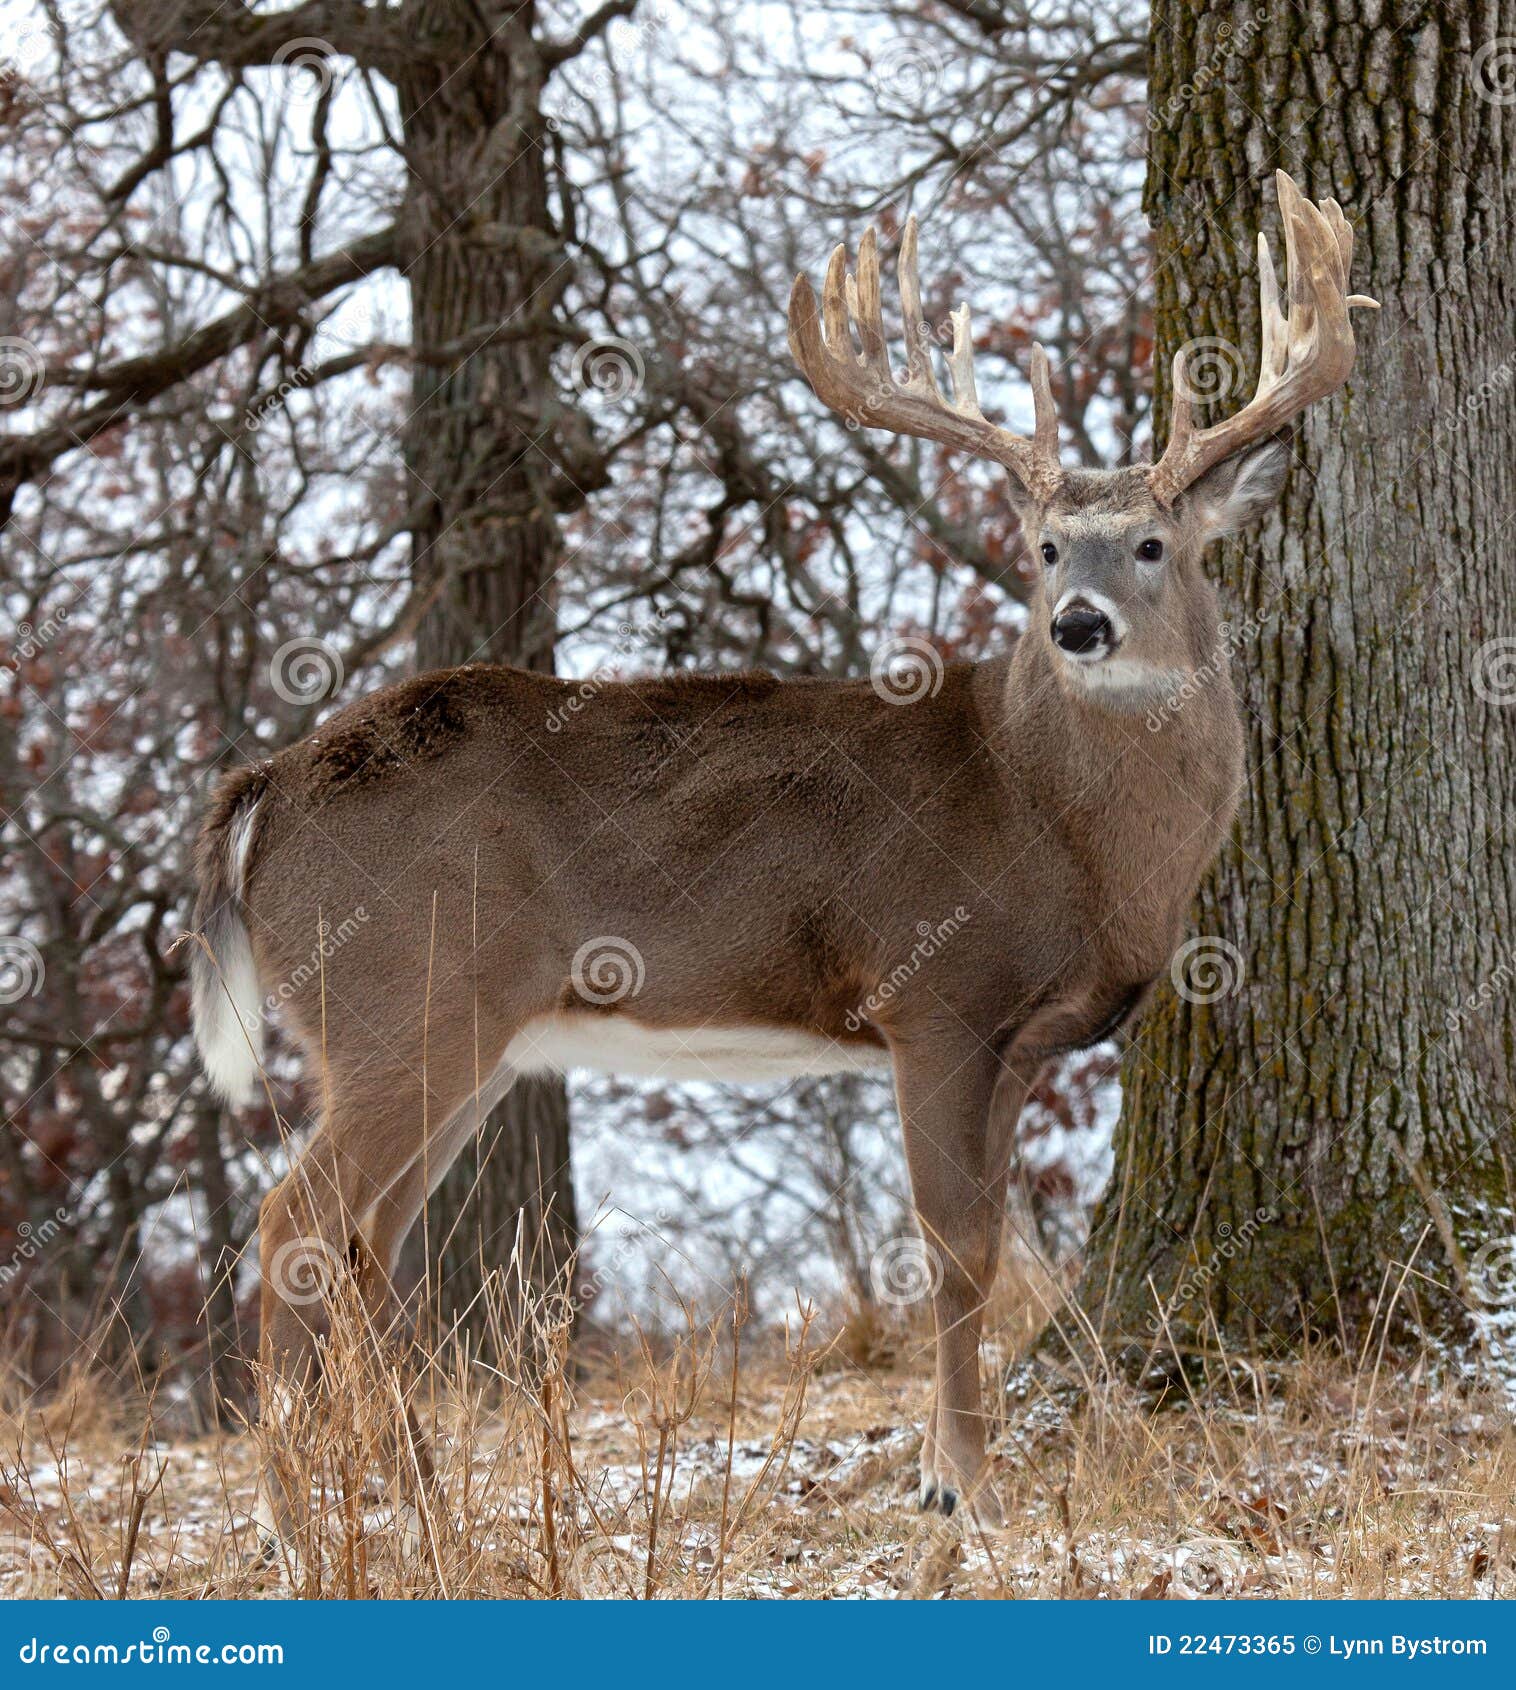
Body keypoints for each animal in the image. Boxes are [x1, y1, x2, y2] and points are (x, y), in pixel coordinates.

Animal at [190, 171, 1375, 1538]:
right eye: (1040, 548)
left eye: (1153, 545)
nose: (1078, 624)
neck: (1055, 821)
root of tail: (262, 788)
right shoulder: (934, 996)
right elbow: (956, 1246)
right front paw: (956, 1482)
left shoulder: (1023, 1040)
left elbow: (995, 1242)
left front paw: (953, 1466)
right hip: (402, 997)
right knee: (297, 1221)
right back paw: (294, 1512)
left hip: (454, 1030)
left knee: (368, 1242)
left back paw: (414, 1491)